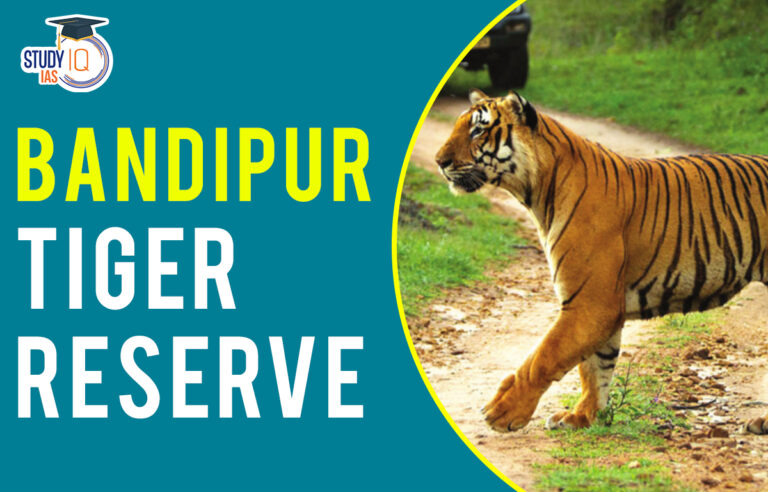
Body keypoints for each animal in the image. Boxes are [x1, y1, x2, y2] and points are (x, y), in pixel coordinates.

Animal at [434, 88, 768, 434]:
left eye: (478, 130)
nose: (439, 161)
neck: (538, 190)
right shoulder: (597, 303)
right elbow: (595, 366)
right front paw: (581, 416)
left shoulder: (591, 303)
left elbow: (543, 356)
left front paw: (503, 411)